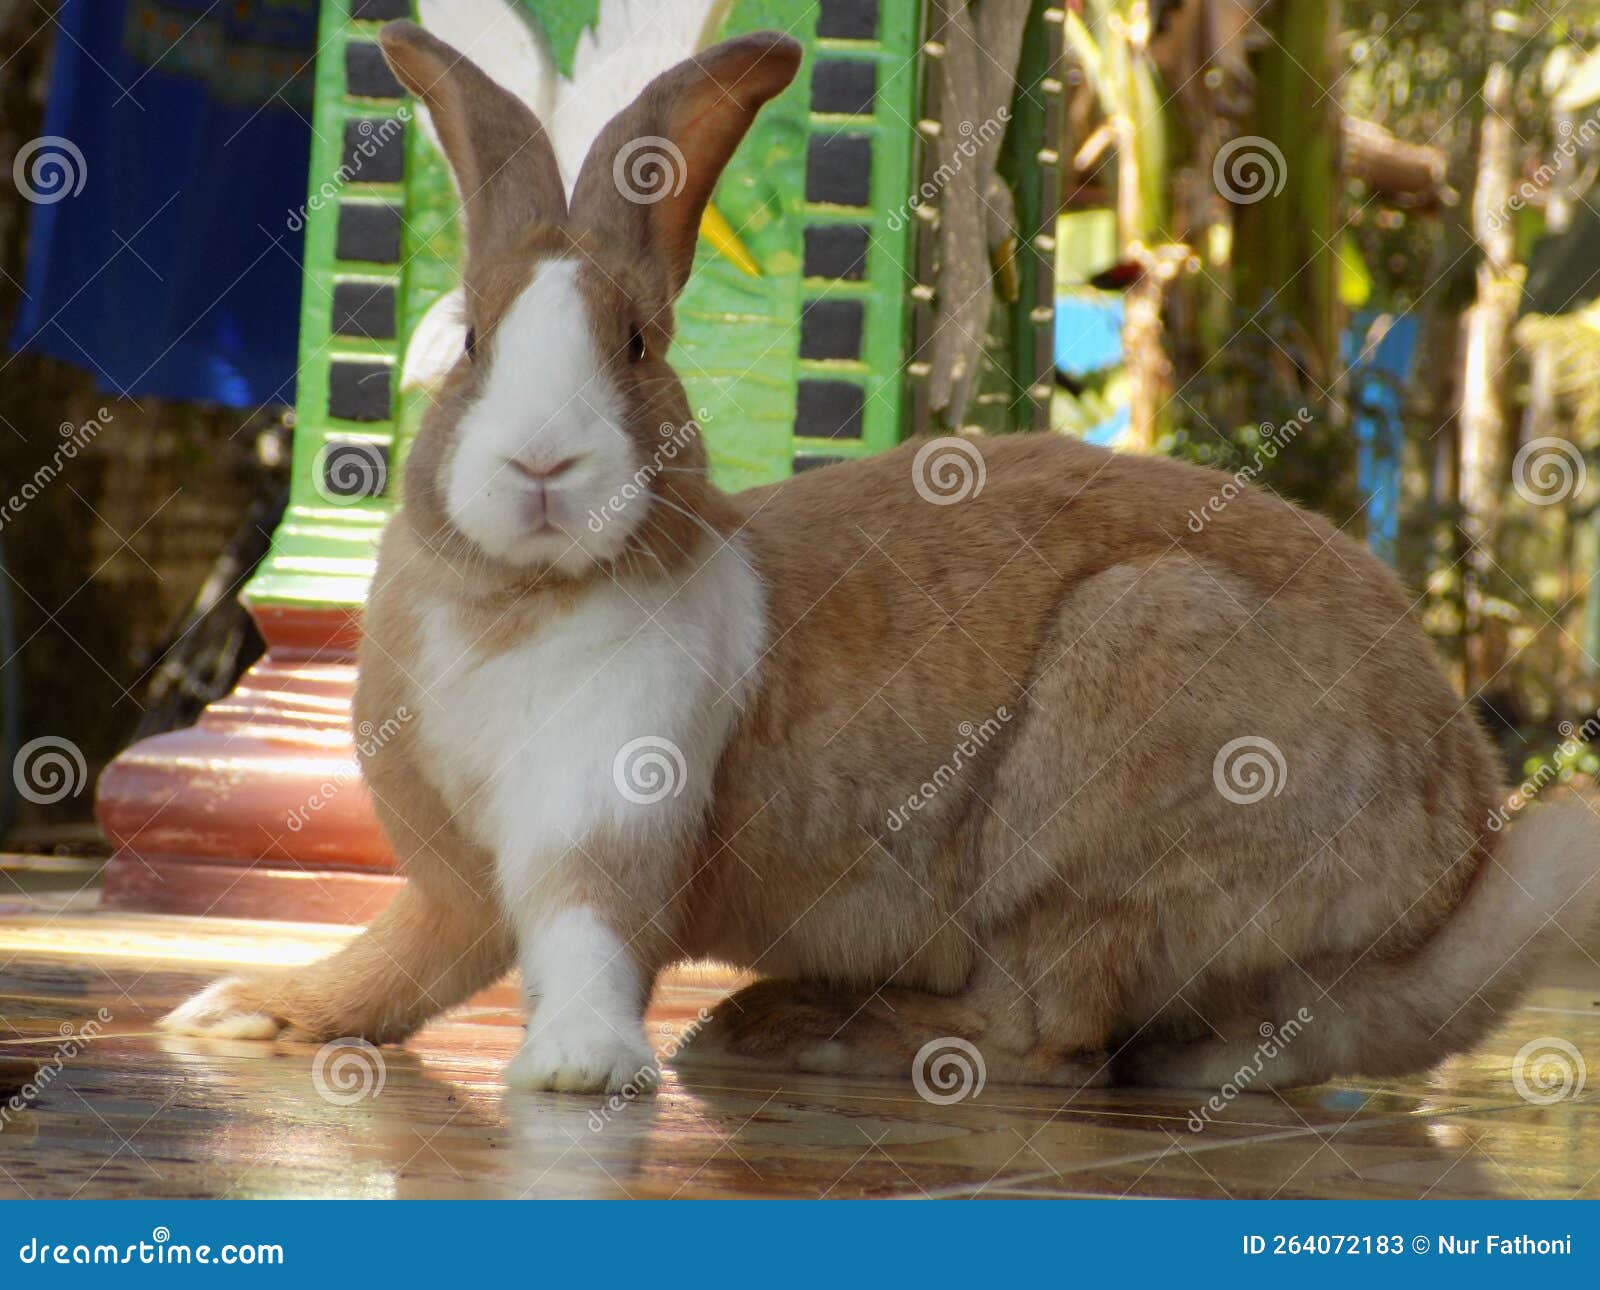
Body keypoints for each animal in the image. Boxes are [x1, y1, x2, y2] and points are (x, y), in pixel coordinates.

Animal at [163, 21, 1600, 1096]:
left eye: (636, 345)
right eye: (468, 343)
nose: (542, 467)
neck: (519, 601)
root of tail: (1454, 842)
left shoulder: (608, 813)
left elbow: (585, 933)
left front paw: (580, 1068)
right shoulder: (456, 882)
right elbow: (405, 960)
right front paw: (246, 1011)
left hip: (1110, 764)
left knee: (1047, 1035)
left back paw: (808, 1032)